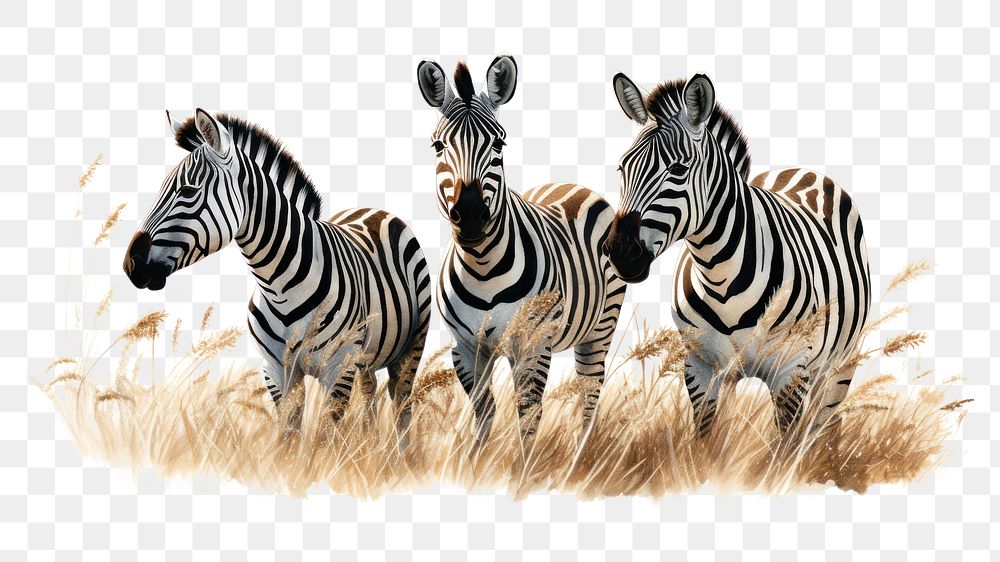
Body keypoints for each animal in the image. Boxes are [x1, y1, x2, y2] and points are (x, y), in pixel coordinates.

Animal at [123, 109, 432, 440]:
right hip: (364, 358)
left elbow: (324, 441)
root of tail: (373, 210)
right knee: (370, 391)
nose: (130, 264)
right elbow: (288, 436)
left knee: (402, 404)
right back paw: (370, 446)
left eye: (187, 191)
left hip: (409, 347)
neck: (279, 286)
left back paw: (397, 452)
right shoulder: (276, 371)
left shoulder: (337, 369)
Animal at [417, 55, 627, 446]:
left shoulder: (531, 345)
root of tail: (569, 184)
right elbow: (484, 412)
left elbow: (528, 416)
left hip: (600, 325)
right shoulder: (466, 348)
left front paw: (524, 464)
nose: (471, 216)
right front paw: (476, 459)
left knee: (590, 392)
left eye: (499, 145)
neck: (481, 266)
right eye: (438, 147)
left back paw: (581, 452)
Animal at [603, 73, 871, 433]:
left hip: (838, 364)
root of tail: (801, 170)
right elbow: (707, 441)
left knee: (825, 426)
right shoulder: (700, 367)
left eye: (678, 170)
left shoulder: (791, 371)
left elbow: (784, 446)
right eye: (622, 168)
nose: (620, 251)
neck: (718, 273)